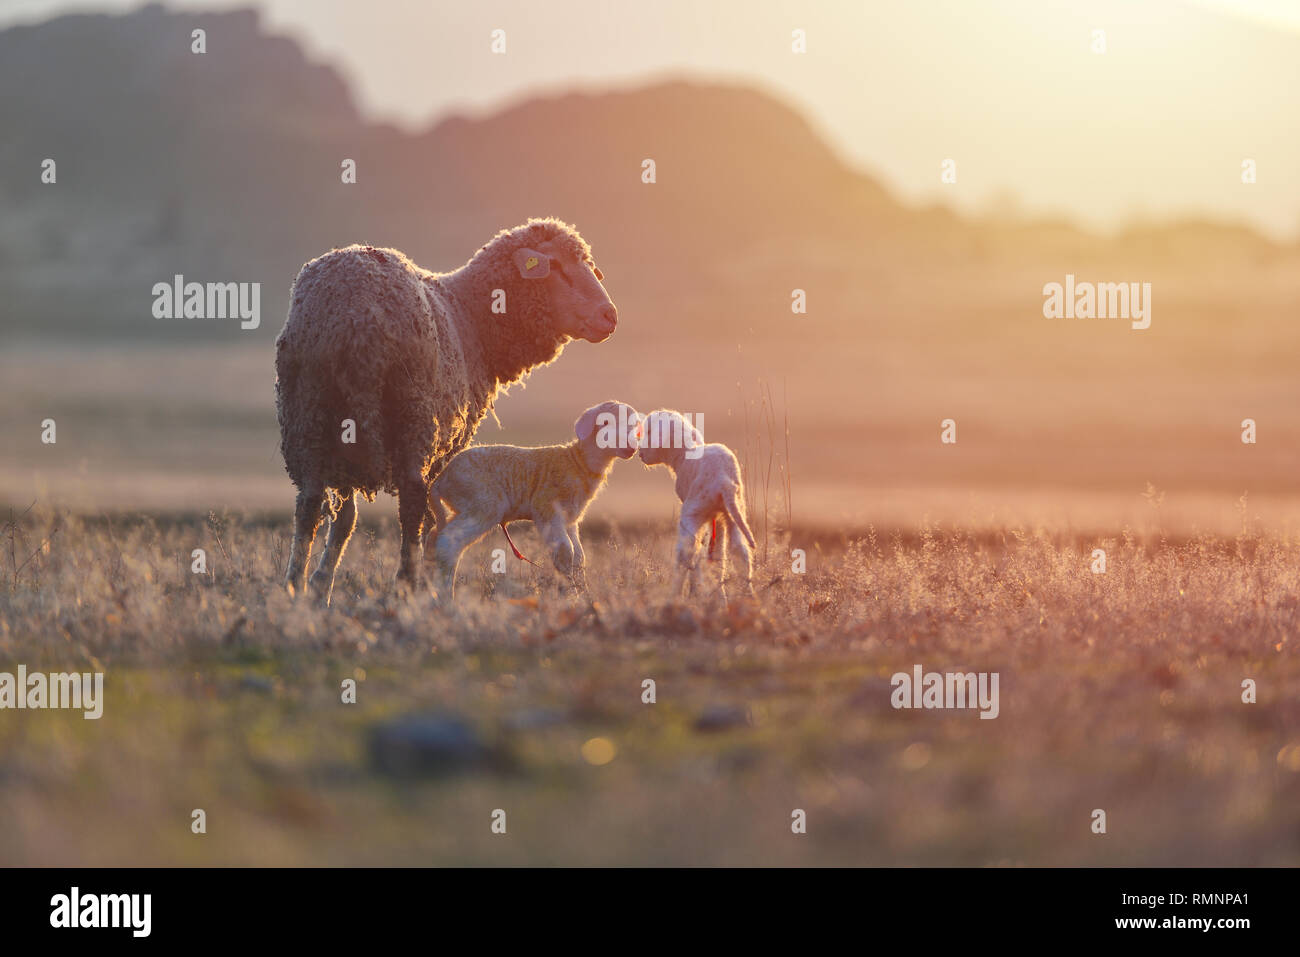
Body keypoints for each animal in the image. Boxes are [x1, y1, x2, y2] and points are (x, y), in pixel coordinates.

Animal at [274, 218, 618, 604]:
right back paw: (407, 584)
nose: (609, 315)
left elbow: (346, 519)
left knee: (309, 504)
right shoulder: (445, 448)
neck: (473, 320)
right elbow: (428, 517)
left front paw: (322, 586)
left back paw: (295, 586)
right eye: (556, 266)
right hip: (413, 416)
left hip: (309, 417)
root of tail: (355, 315)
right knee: (412, 504)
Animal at [425, 400, 642, 601]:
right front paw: (570, 593)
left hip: (463, 505)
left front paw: (582, 592)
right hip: (482, 501)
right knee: (449, 541)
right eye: (605, 422)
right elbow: (565, 550)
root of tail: (441, 479)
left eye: (633, 426)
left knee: (435, 535)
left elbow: (579, 556)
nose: (632, 447)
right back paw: (446, 595)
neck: (577, 462)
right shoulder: (546, 508)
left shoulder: (570, 518)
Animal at [637, 409, 757, 600]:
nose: (640, 454)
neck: (684, 454)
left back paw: (678, 595)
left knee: (687, 553)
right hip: (734, 511)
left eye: (649, 432)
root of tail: (723, 479)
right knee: (740, 552)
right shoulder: (718, 517)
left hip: (693, 511)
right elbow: (717, 553)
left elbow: (698, 552)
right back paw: (747, 598)